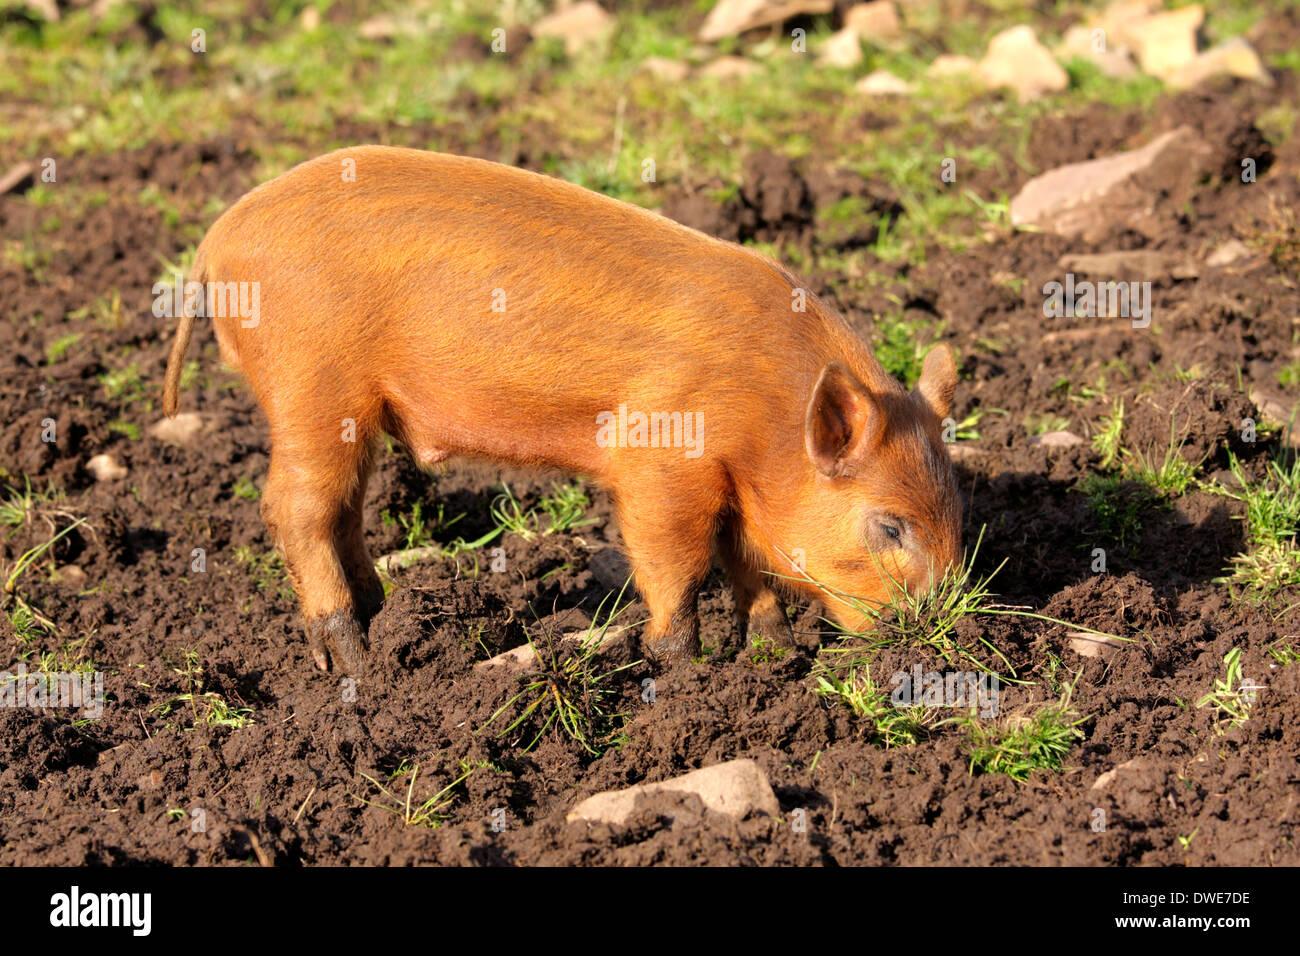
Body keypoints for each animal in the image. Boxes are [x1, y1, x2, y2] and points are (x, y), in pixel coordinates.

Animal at [163, 146, 962, 673]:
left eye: (956, 510)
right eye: (890, 527)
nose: (940, 632)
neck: (769, 421)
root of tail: (218, 238)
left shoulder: (735, 485)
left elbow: (746, 563)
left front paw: (775, 652)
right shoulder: (660, 461)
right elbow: (679, 563)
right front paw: (686, 670)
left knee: (344, 508)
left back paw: (381, 611)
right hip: (309, 383)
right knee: (294, 507)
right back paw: (353, 661)